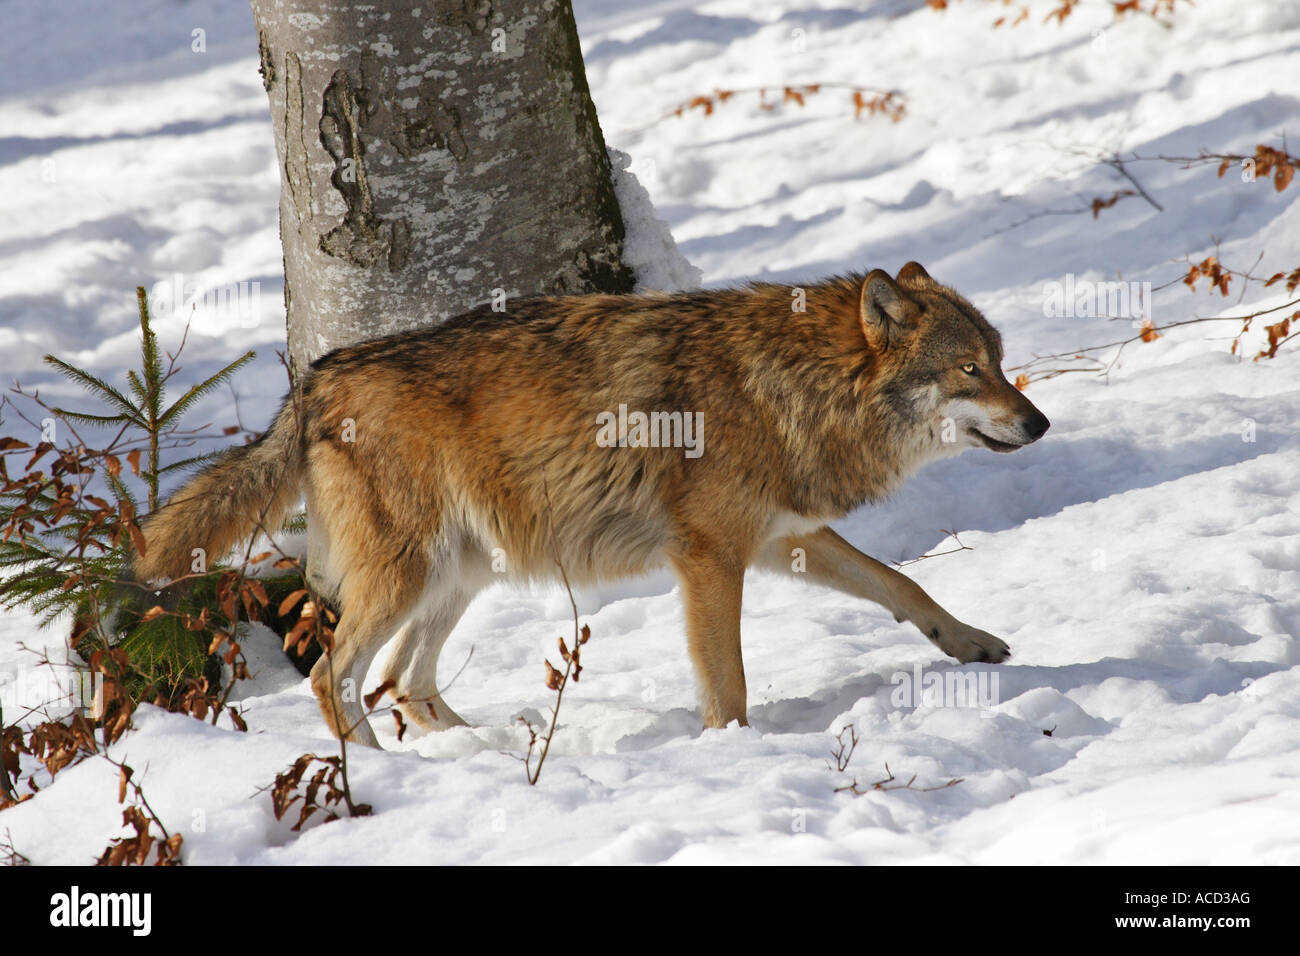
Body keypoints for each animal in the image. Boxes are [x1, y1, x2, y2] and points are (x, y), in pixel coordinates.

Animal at [134, 262, 1049, 746]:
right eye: (971, 371)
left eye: (1002, 362)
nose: (1039, 422)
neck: (788, 386)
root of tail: (315, 379)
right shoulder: (710, 560)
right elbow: (728, 679)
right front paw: (732, 749)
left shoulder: (781, 539)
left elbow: (902, 583)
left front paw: (969, 643)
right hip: (412, 574)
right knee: (336, 677)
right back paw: (378, 772)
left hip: (461, 574)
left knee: (401, 680)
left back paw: (480, 753)